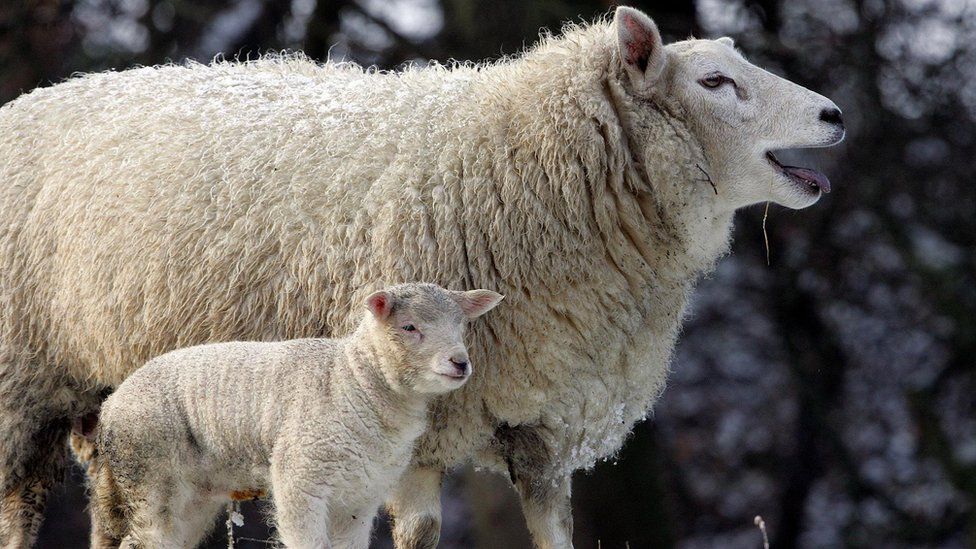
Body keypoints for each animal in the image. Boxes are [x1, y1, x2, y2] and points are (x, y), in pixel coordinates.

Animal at [86, 282, 503, 549]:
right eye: (409, 327)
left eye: (461, 326)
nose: (460, 363)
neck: (352, 380)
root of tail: (111, 406)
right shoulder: (300, 481)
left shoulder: (359, 496)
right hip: (150, 478)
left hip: (192, 497)